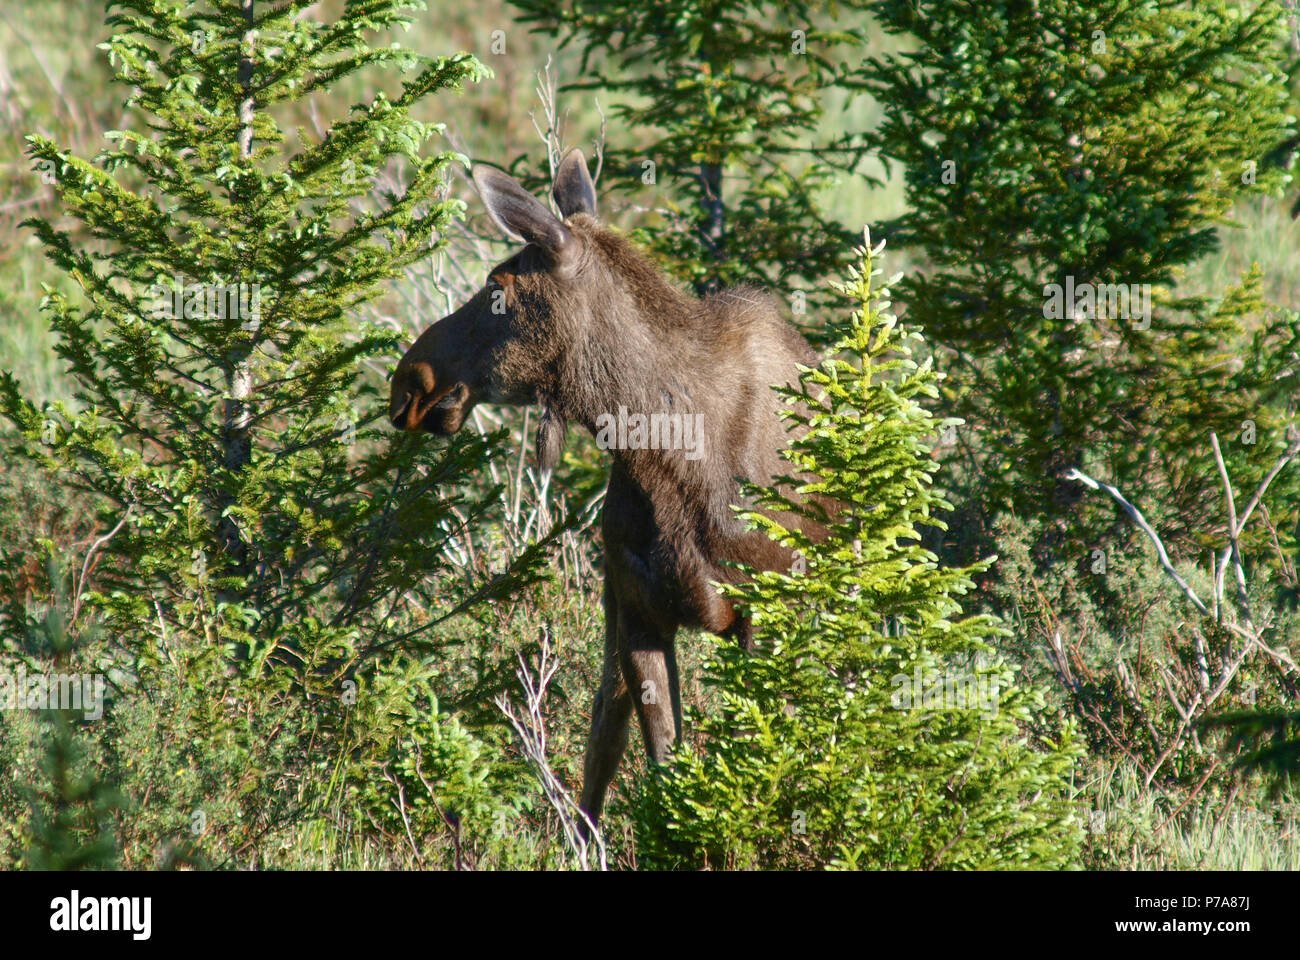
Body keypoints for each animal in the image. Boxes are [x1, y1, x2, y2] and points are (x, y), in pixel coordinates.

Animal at [389, 149, 822, 826]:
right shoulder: (640, 611)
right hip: (613, 608)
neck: (674, 458)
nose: (410, 379)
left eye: (498, 289)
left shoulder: (770, 608)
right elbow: (664, 764)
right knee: (601, 734)